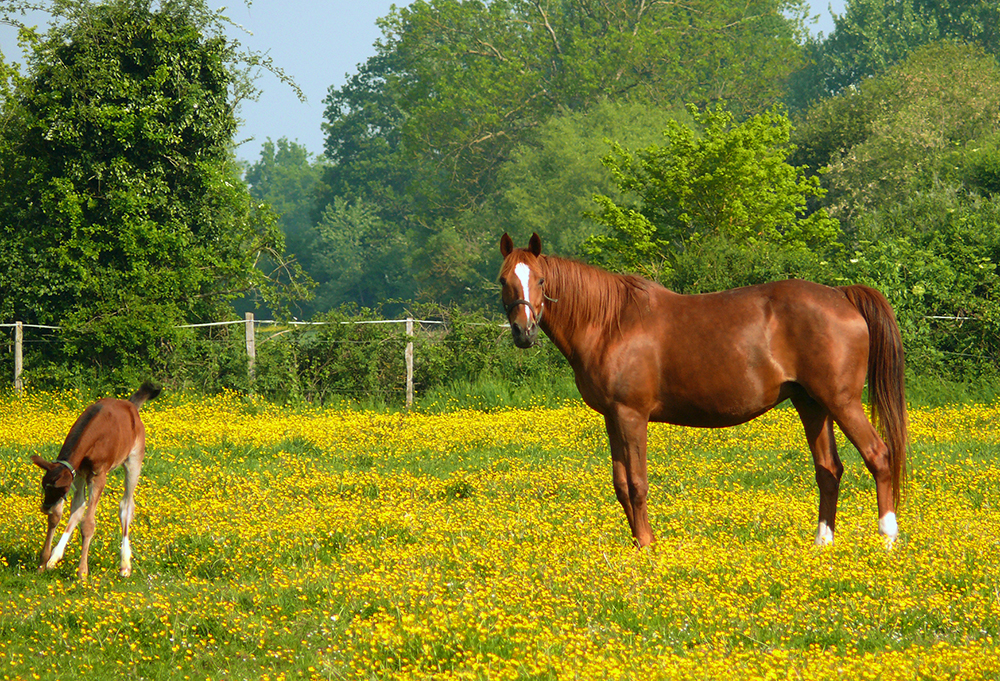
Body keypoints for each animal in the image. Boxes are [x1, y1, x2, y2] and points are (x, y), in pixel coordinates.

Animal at [31, 381, 161, 578]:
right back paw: (55, 557)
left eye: (59, 489)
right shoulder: (77, 474)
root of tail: (132, 405)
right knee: (79, 509)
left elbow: (88, 523)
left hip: (134, 460)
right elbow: (66, 513)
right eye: (44, 487)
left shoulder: (99, 475)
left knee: (126, 506)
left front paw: (82, 572)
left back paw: (125, 565)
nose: (45, 507)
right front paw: (44, 562)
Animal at [498, 233, 907, 548]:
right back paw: (823, 543)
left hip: (842, 401)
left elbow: (637, 483)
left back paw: (887, 539)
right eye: (504, 280)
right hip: (811, 404)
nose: (523, 332)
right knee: (828, 470)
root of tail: (841, 295)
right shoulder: (612, 419)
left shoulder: (632, 416)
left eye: (540, 281)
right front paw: (636, 545)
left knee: (879, 456)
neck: (610, 323)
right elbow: (620, 485)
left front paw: (647, 545)